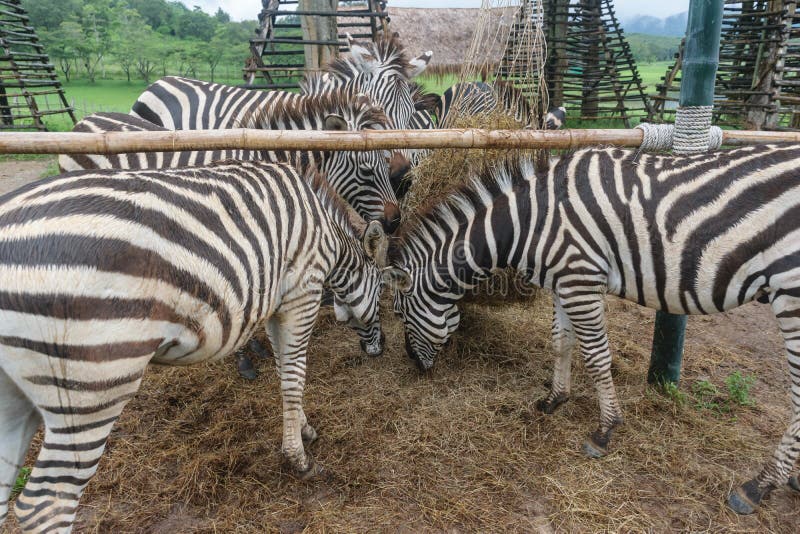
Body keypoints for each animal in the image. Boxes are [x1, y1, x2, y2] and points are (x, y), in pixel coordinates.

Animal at [0, 160, 387, 532]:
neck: (326, 235)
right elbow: (294, 376)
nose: (379, 350)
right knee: (46, 505)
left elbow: (282, 368)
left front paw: (302, 428)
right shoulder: (302, 292)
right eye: (383, 294)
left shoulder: (278, 303)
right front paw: (298, 456)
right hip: (93, 384)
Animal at [382, 145, 800, 515]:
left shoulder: (580, 279)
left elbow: (597, 358)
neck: (529, 221)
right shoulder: (562, 282)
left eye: (400, 313)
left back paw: (757, 487)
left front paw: (605, 431)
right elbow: (560, 342)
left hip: (790, 291)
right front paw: (554, 400)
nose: (413, 365)